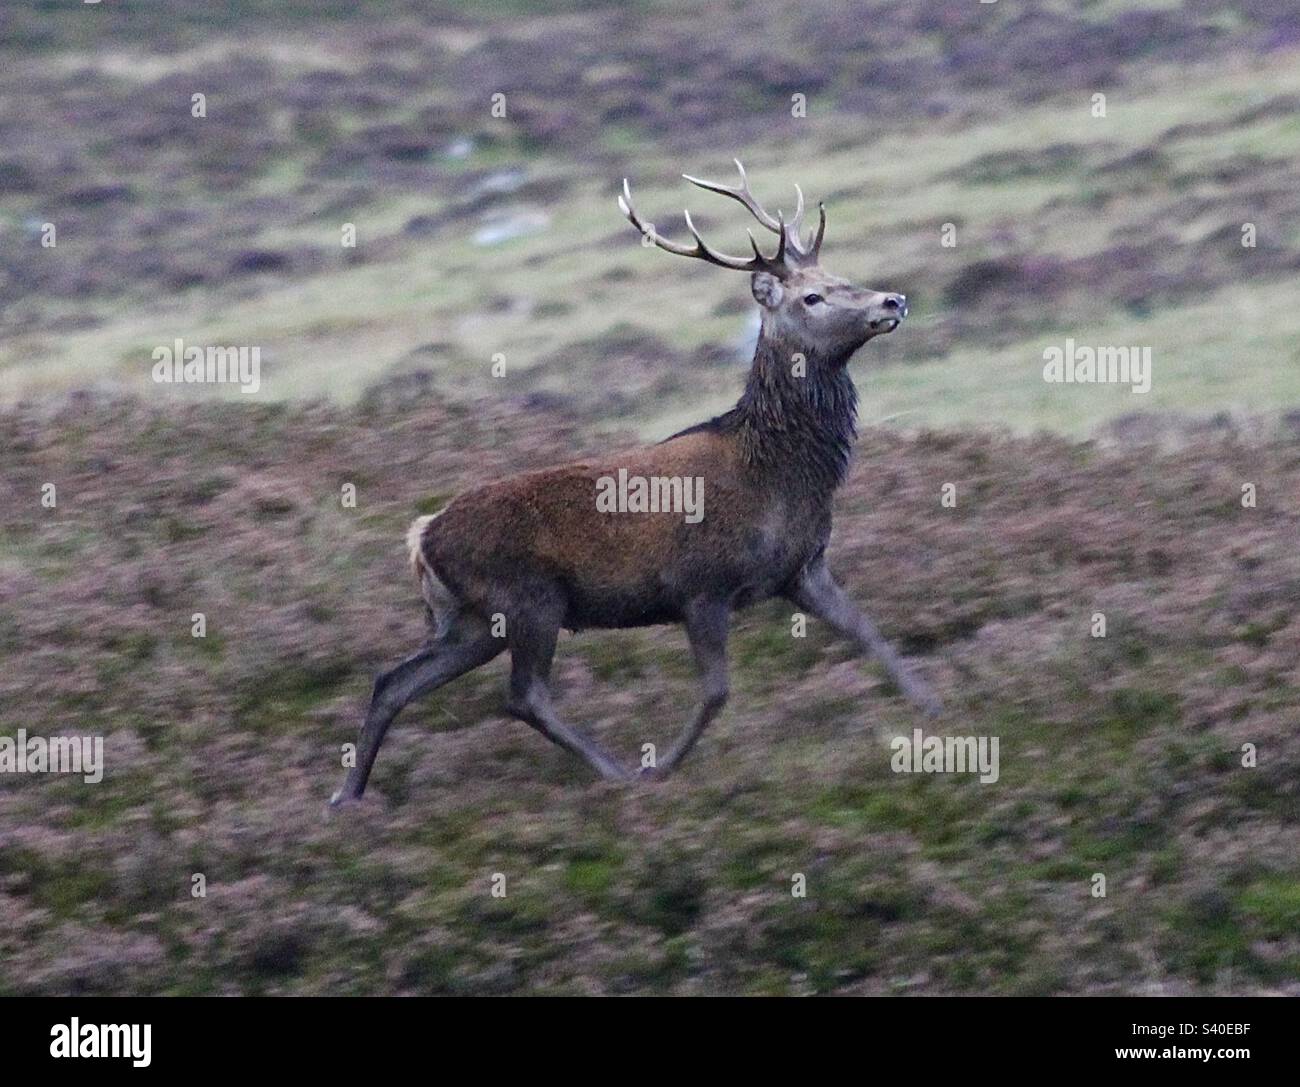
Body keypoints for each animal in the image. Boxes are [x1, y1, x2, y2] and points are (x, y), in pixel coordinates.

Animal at [331, 160, 939, 806]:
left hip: (470, 619)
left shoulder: (802, 568)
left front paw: (938, 710)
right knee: (523, 695)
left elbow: (869, 633)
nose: (894, 298)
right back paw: (616, 773)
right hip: (529, 598)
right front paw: (661, 768)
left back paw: (348, 798)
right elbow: (717, 691)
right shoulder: (701, 585)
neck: (779, 477)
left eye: (839, 275)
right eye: (812, 296)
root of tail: (421, 536)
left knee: (394, 679)